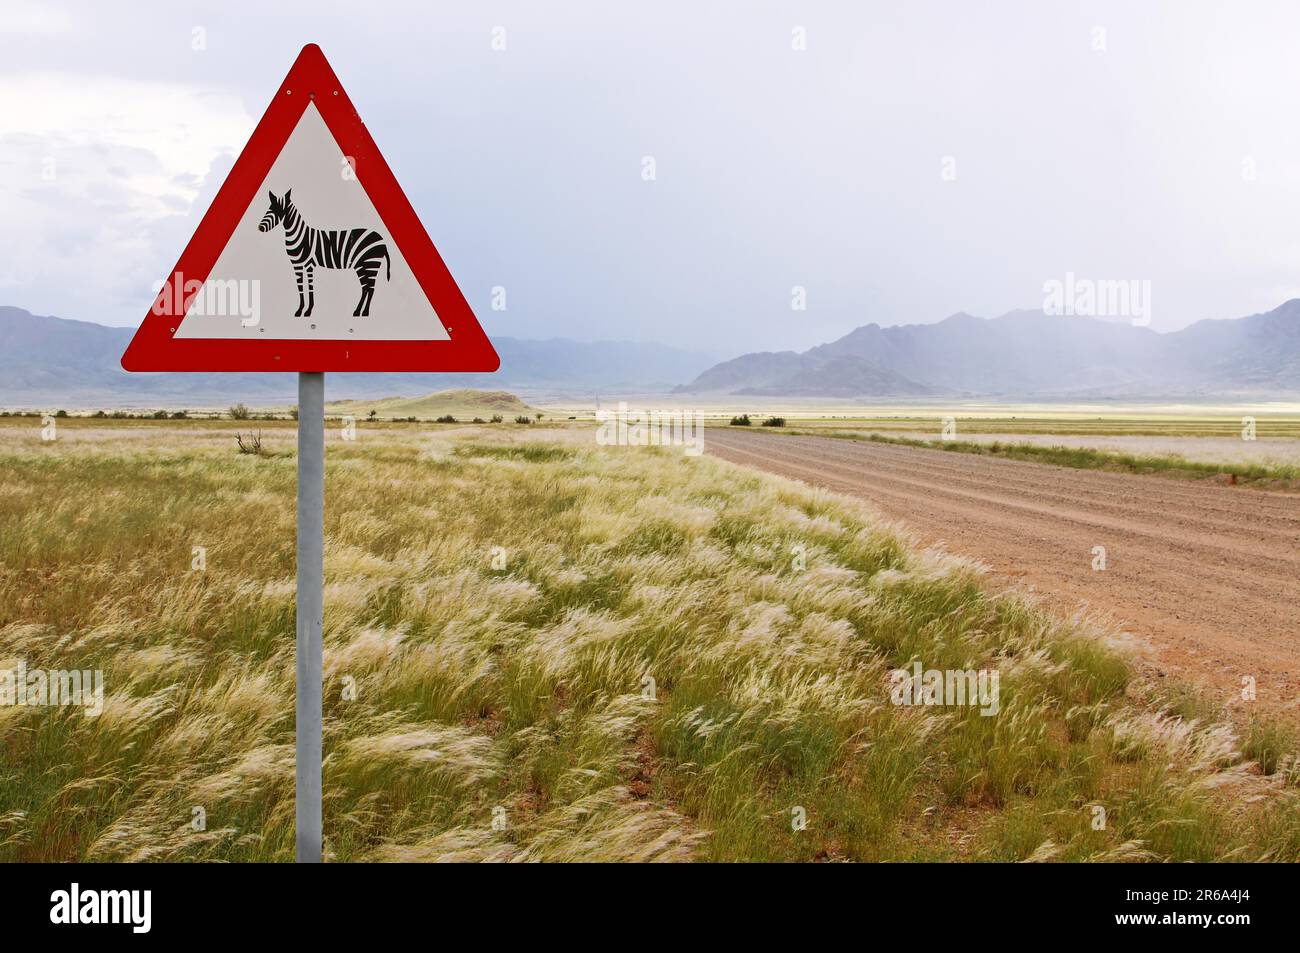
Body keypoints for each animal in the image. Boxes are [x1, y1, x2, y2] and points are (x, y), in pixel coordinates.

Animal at [257, 189, 390, 317]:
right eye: (269, 209)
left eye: (277, 211)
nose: (260, 228)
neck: (299, 236)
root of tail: (382, 239)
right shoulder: (297, 265)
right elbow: (300, 287)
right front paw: (300, 310)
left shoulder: (309, 264)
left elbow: (310, 287)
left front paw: (308, 311)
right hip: (361, 266)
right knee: (365, 288)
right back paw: (358, 312)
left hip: (371, 263)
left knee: (371, 288)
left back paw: (365, 312)